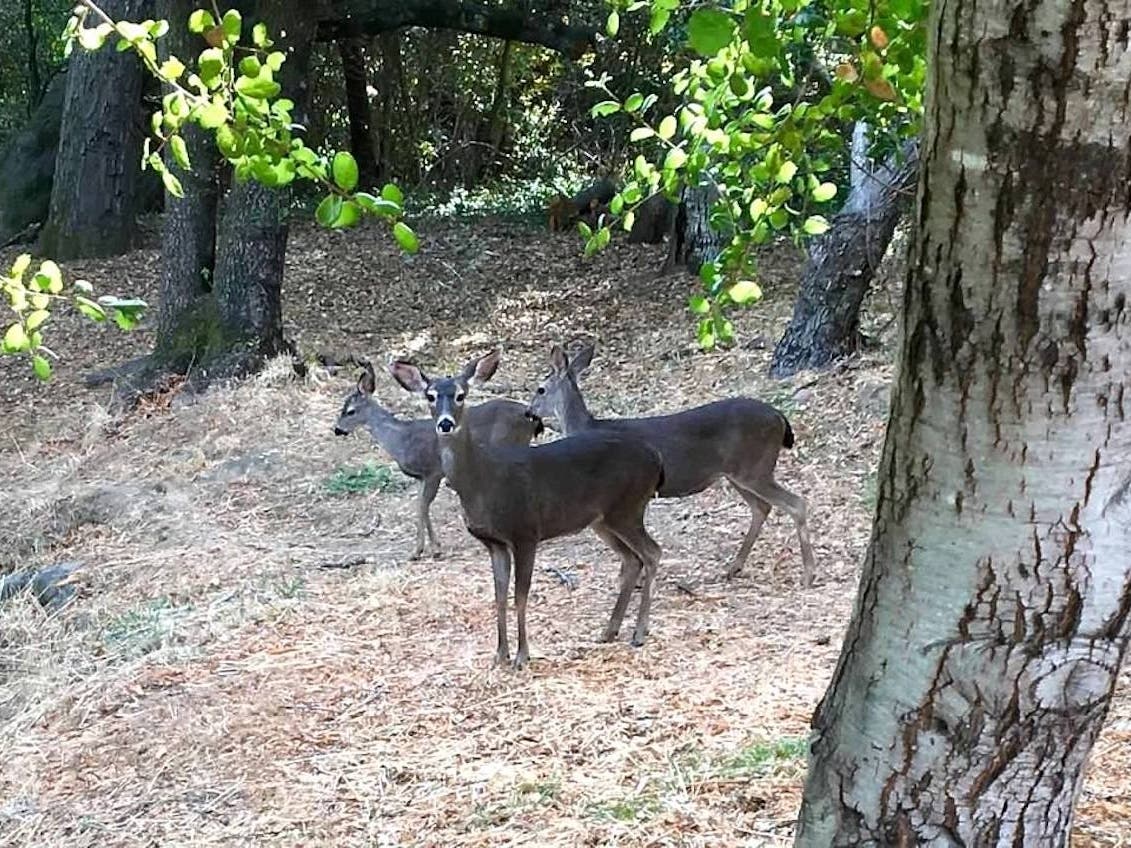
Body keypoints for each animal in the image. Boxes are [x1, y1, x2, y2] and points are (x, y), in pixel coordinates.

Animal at [333, 359, 542, 560]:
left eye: (350, 411)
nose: (337, 429)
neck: (401, 439)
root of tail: (532, 417)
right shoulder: (421, 477)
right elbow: (419, 505)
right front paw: (424, 549)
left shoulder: (433, 471)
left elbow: (424, 506)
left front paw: (428, 549)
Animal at [389, 350, 665, 669]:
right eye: (430, 396)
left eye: (461, 395)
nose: (445, 424)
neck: (483, 481)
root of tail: (655, 458)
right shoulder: (494, 542)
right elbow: (499, 595)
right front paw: (499, 655)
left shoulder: (525, 532)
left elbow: (520, 595)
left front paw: (522, 656)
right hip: (603, 519)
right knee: (633, 559)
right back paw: (609, 631)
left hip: (628, 508)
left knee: (652, 552)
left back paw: (639, 632)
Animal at [527, 342, 816, 587]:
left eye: (540, 389)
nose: (529, 412)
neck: (585, 427)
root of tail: (779, 417)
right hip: (739, 473)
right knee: (762, 507)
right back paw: (733, 567)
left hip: (754, 468)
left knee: (796, 503)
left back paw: (808, 575)